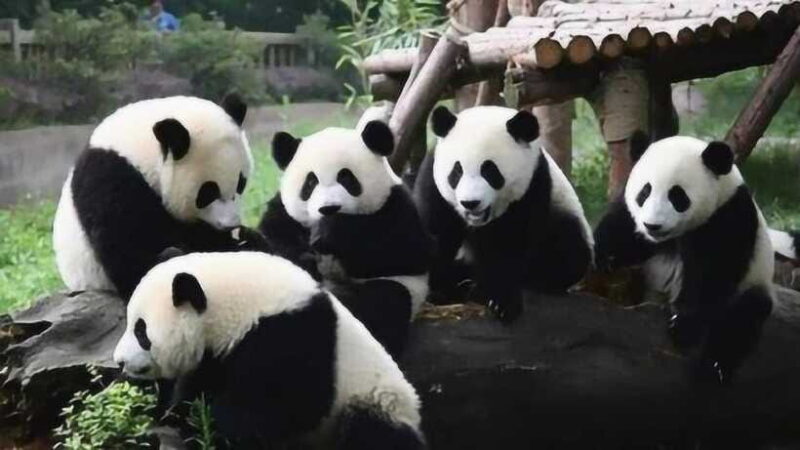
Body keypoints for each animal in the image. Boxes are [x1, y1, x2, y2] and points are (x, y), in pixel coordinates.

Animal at [53, 95, 265, 299]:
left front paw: (245, 240)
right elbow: (126, 249)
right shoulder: (110, 179)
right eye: (208, 193)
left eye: (241, 184)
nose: (231, 224)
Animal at [113, 251, 425, 449]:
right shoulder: (217, 354)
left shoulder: (287, 335)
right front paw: (180, 417)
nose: (119, 361)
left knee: (371, 432)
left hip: (378, 401)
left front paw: (211, 427)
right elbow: (195, 387)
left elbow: (289, 406)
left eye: (141, 331)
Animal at [257, 120, 432, 357]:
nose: (328, 208)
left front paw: (331, 233)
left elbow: (409, 251)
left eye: (347, 178)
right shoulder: (284, 213)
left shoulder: (396, 205)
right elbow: (272, 240)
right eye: (310, 183)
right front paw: (307, 259)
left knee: (385, 301)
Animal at [413, 105, 593, 323]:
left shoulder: (532, 184)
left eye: (490, 171)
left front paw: (500, 302)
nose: (470, 203)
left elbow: (511, 244)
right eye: (457, 171)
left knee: (568, 252)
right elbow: (436, 234)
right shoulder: (433, 184)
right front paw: (437, 291)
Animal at [593, 133, 774, 384]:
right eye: (644, 192)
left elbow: (712, 276)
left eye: (677, 196)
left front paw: (683, 326)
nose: (652, 225)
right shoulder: (630, 216)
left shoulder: (728, 217)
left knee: (742, 319)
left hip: (754, 282)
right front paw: (603, 259)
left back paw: (714, 369)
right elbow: (621, 232)